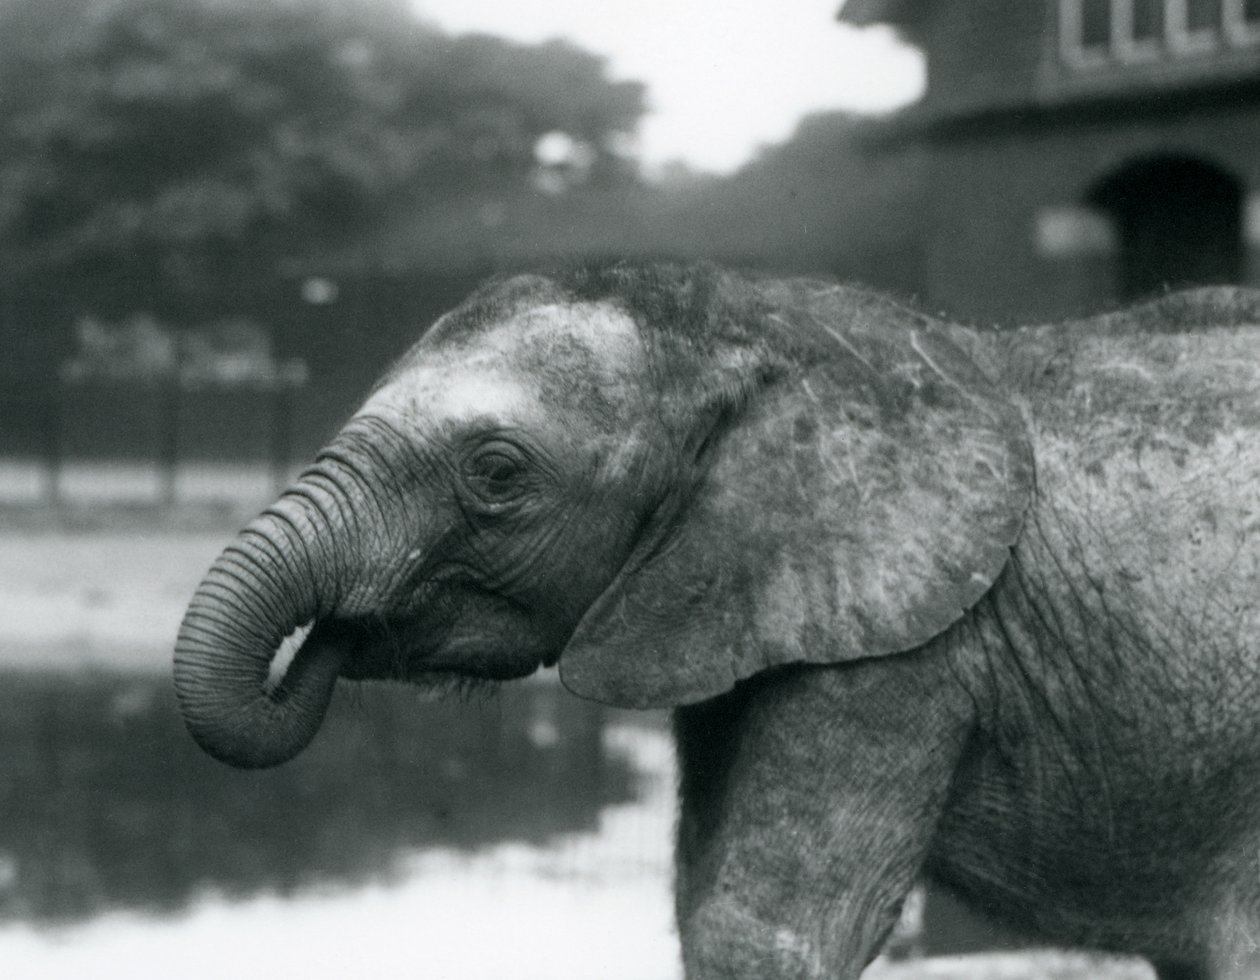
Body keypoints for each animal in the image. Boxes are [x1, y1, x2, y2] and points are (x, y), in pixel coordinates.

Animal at [175, 260, 1260, 980]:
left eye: (498, 473)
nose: (332, 637)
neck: (757, 326)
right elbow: (703, 914)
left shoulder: (903, 649)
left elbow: (767, 932)